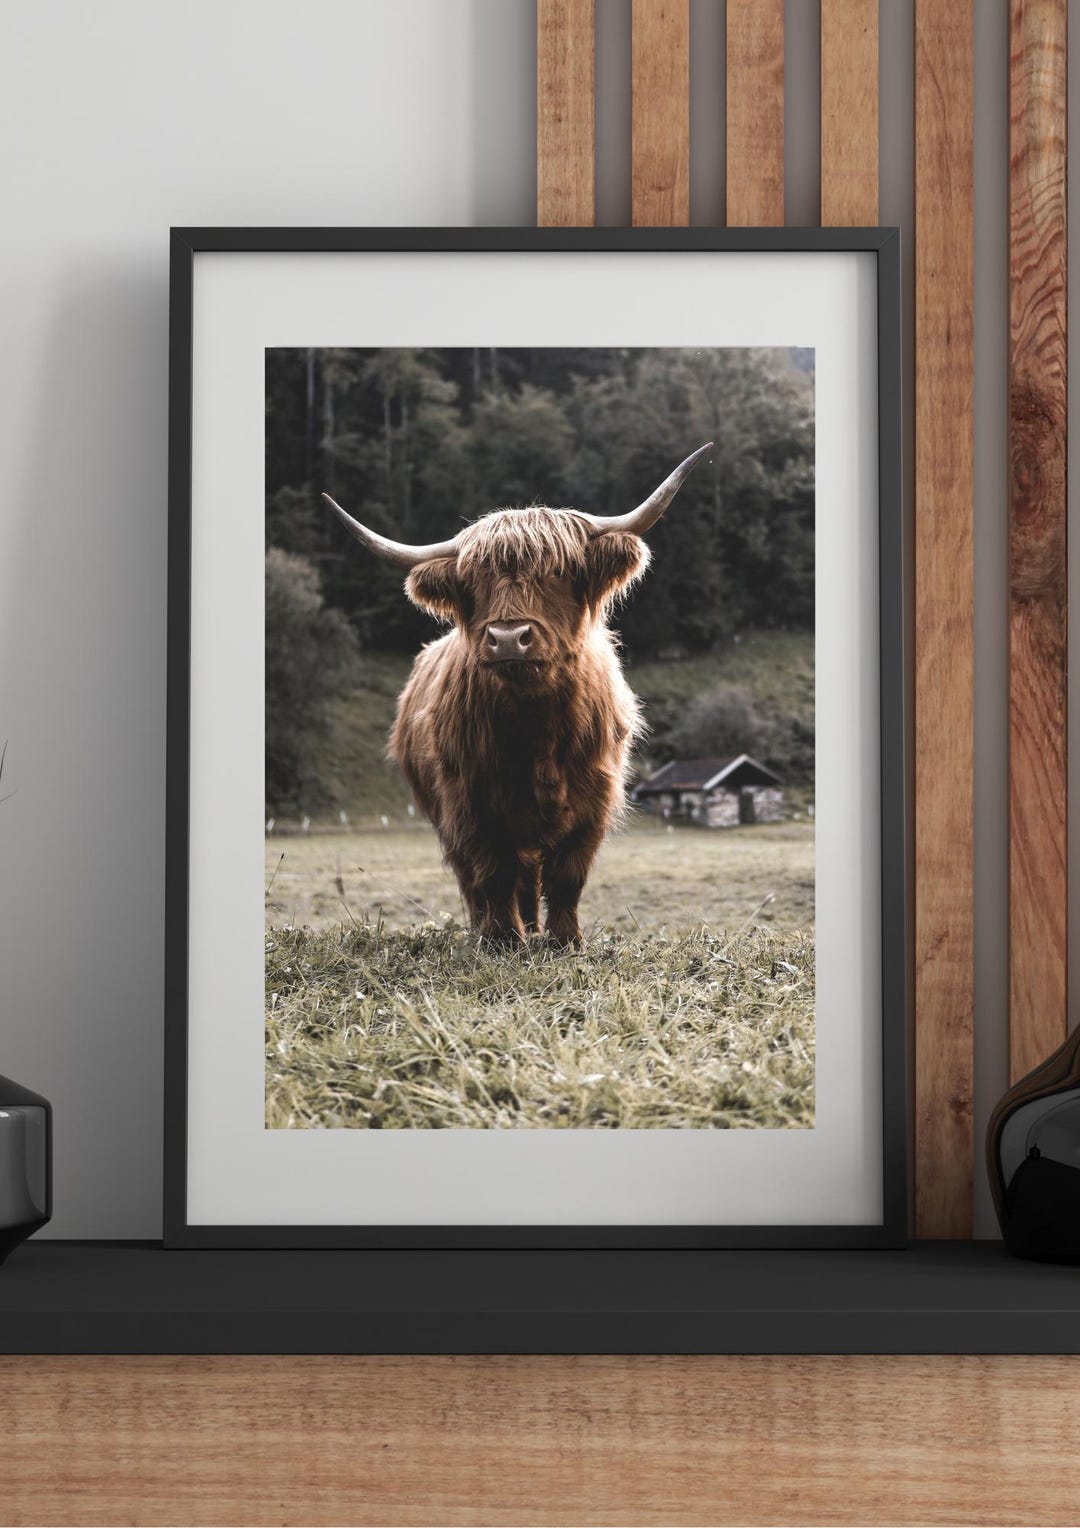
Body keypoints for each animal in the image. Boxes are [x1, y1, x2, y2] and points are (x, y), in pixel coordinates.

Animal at [323, 443, 712, 946]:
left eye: (559, 573)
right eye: (473, 583)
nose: (508, 638)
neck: (535, 725)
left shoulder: (593, 803)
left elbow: (568, 876)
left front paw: (565, 940)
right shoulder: (471, 805)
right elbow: (493, 874)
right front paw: (503, 940)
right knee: (477, 880)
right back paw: (490, 929)